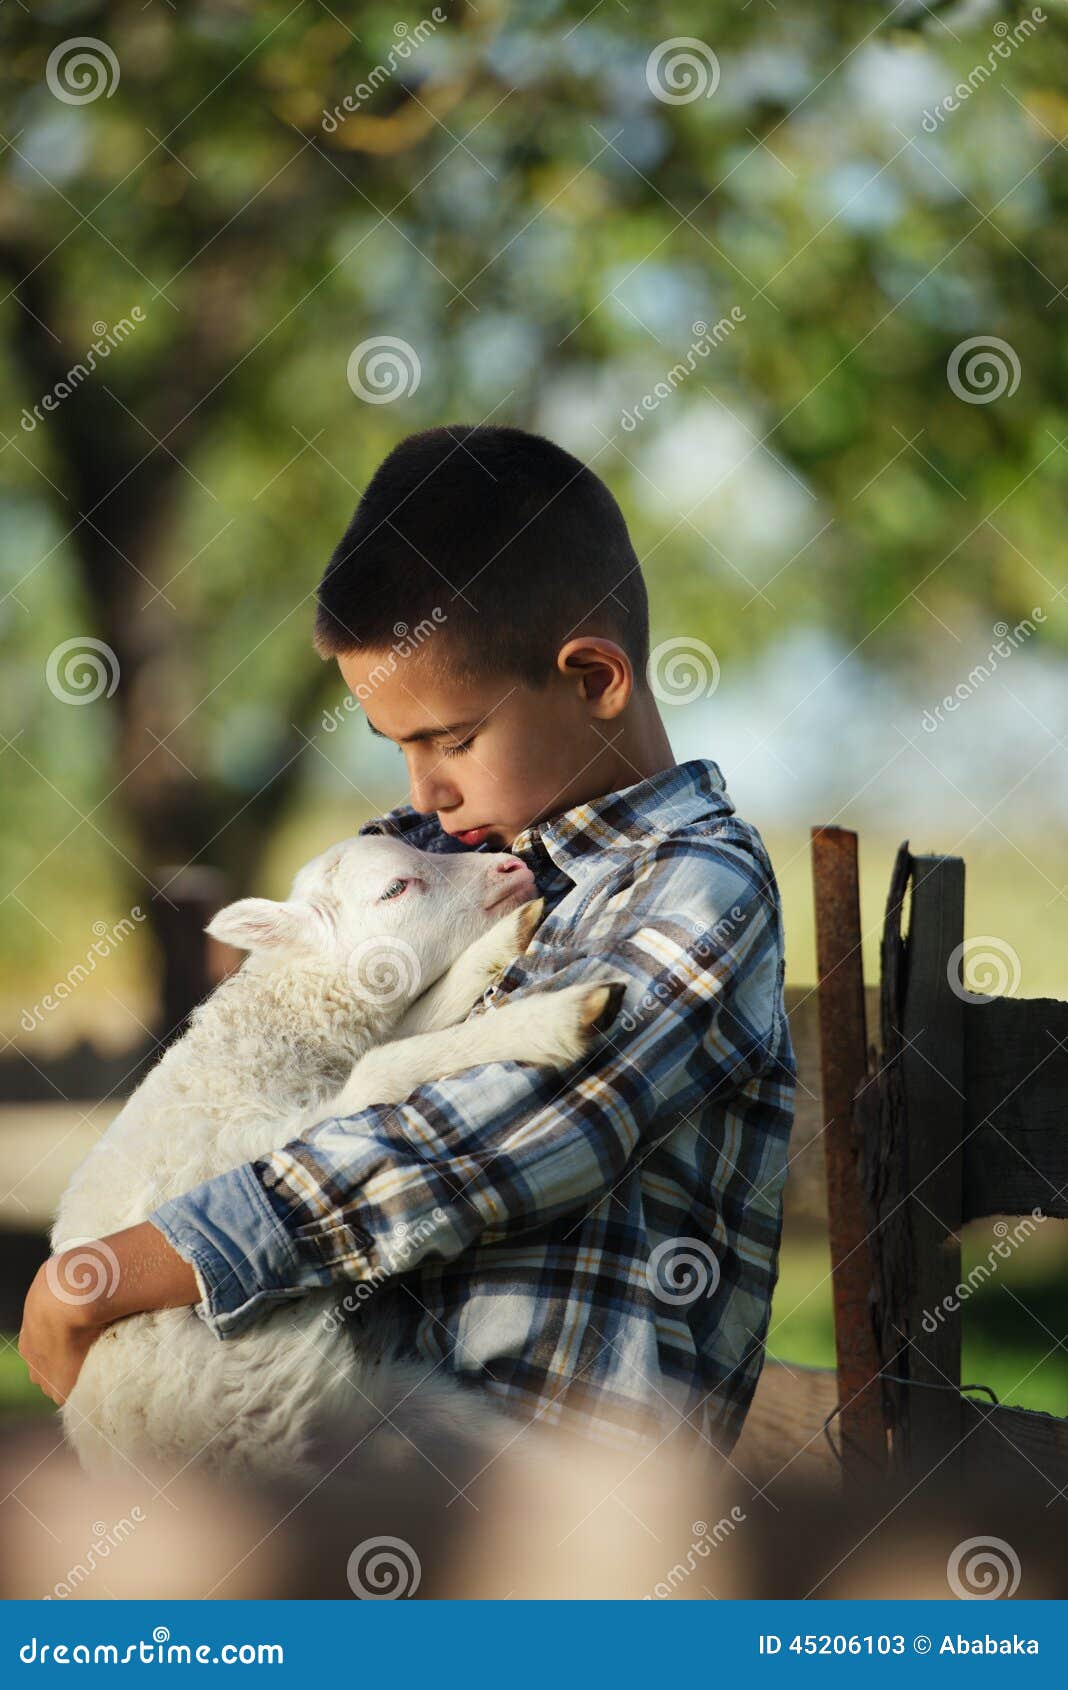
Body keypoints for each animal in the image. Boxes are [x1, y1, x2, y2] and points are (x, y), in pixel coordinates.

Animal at [50, 834, 626, 1487]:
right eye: (395, 888)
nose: (511, 867)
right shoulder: (251, 1149)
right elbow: (386, 1062)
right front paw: (560, 1016)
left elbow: (403, 1029)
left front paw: (505, 939)